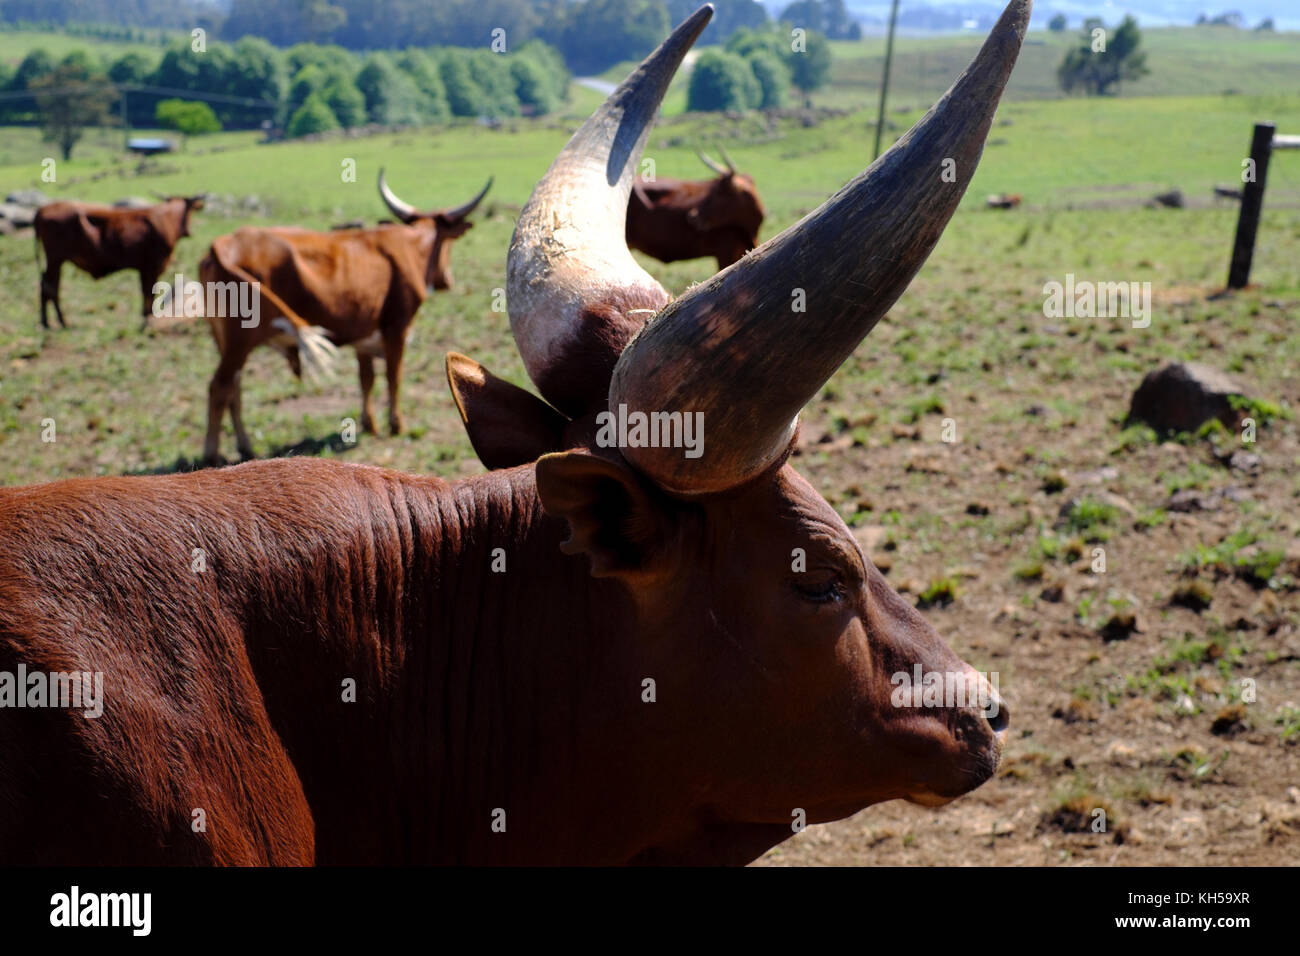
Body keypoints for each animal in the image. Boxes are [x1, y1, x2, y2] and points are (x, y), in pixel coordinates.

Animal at [34, 195, 205, 331]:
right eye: (190, 211)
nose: (189, 232)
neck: (166, 219)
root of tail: (43, 209)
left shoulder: (144, 269)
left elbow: (146, 293)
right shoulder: (151, 267)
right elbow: (149, 294)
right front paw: (148, 318)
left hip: (55, 261)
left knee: (46, 285)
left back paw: (47, 322)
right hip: (55, 259)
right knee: (50, 287)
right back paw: (60, 322)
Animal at [197, 172, 491, 465]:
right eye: (448, 244)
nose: (448, 280)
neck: (412, 245)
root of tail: (224, 244)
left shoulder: (364, 334)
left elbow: (366, 379)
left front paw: (369, 423)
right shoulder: (397, 328)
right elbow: (393, 376)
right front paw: (397, 424)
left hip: (225, 341)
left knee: (233, 389)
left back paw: (245, 447)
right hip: (239, 342)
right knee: (219, 387)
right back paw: (211, 454)